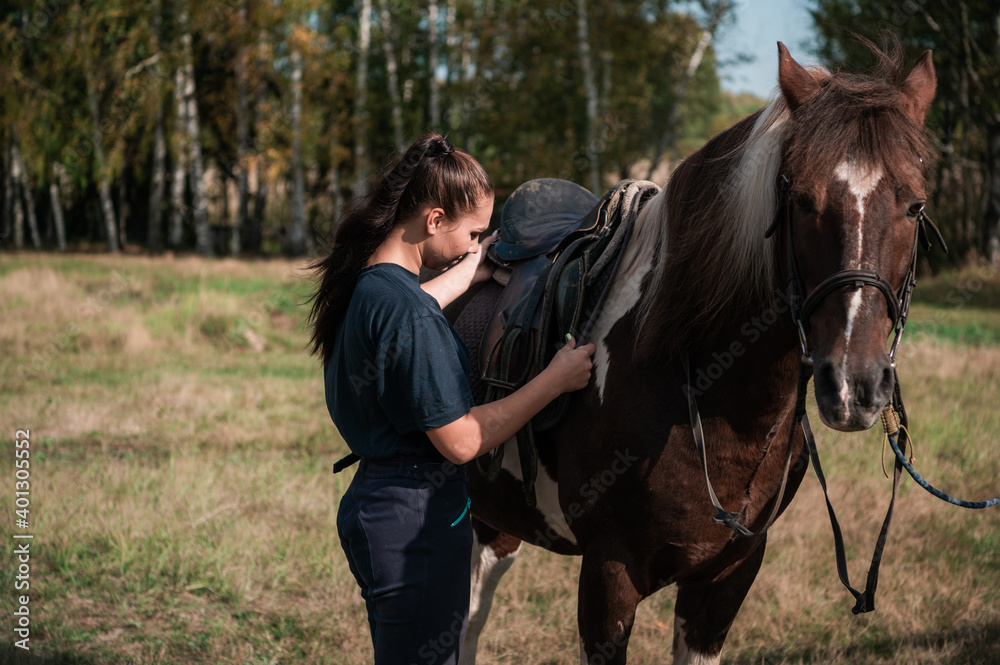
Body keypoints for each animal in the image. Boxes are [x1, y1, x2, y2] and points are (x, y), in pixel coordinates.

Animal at [445, 41, 938, 664]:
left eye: (915, 207)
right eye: (802, 202)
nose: (854, 385)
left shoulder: (726, 578)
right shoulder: (607, 577)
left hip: (495, 517)